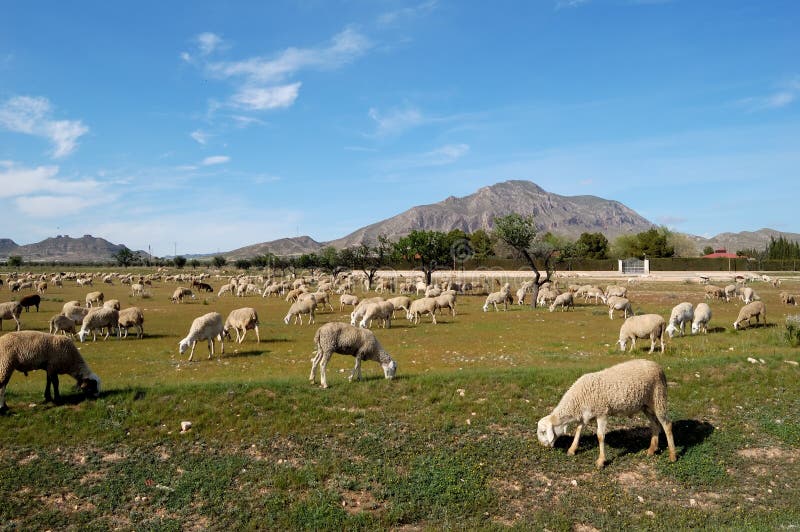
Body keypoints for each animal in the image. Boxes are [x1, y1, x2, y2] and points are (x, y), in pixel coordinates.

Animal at [536, 359, 676, 469]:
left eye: (543, 432)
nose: (543, 446)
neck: (578, 398)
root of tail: (658, 366)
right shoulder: (587, 414)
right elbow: (578, 429)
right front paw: (572, 449)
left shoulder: (602, 412)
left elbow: (600, 436)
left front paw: (601, 461)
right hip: (645, 405)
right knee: (655, 425)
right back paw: (651, 450)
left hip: (658, 397)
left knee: (667, 424)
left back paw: (672, 456)